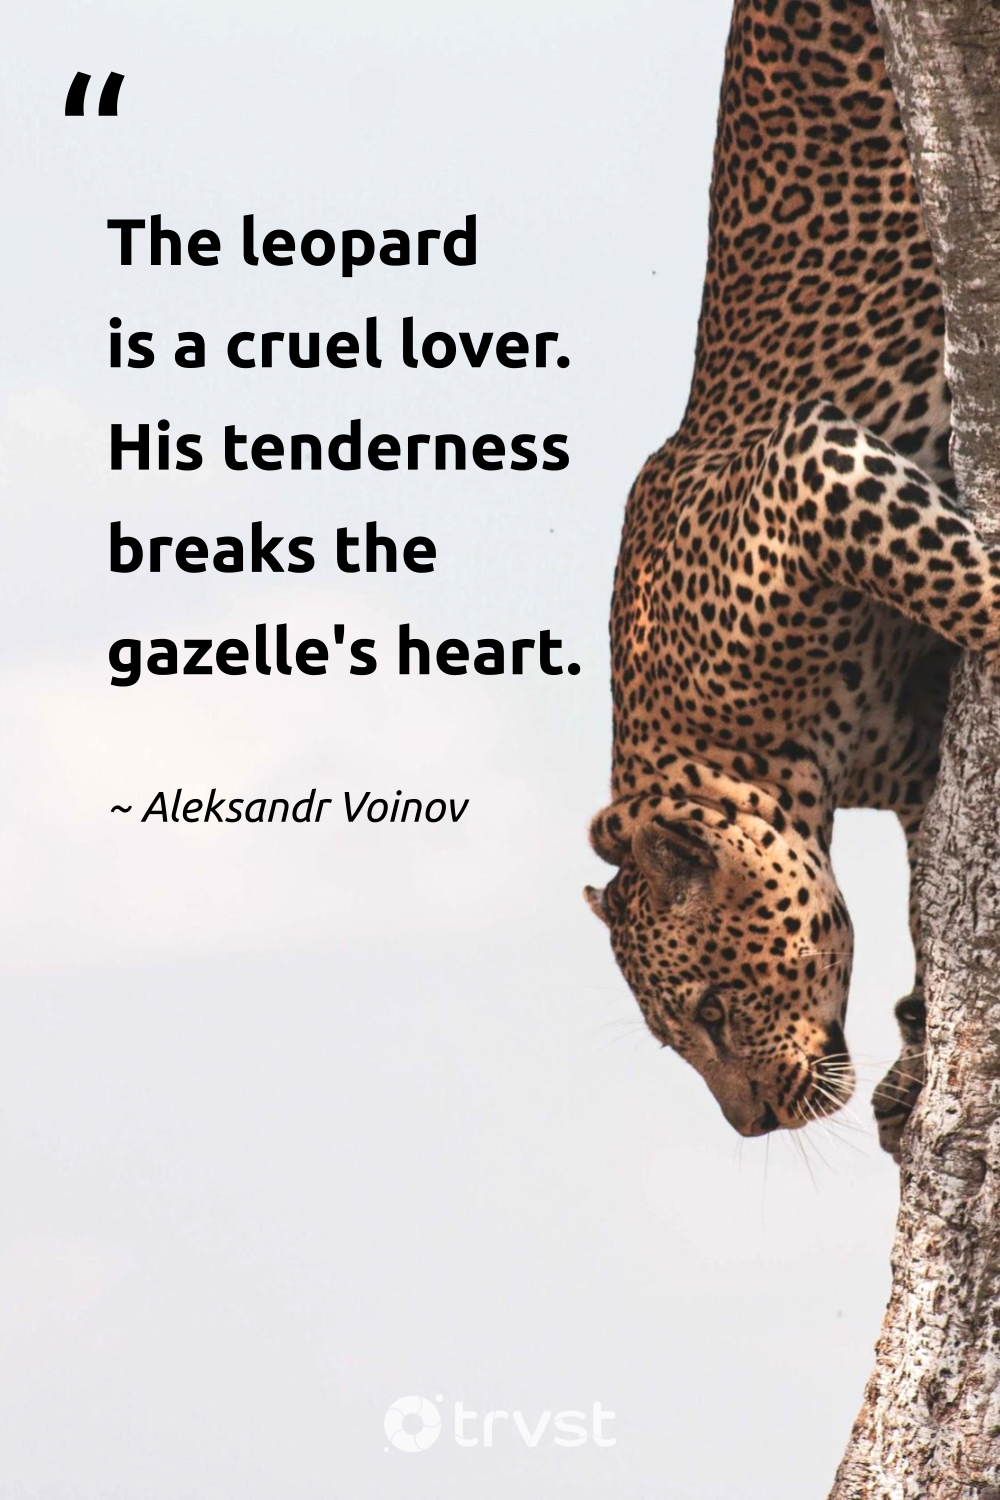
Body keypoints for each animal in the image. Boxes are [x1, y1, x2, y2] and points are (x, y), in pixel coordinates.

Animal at [585, 0, 1000, 1159]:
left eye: (712, 1010)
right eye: (675, 1039)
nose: (750, 1127)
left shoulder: (811, 463)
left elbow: (953, 571)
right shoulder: (918, 756)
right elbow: (928, 899)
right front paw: (913, 1058)